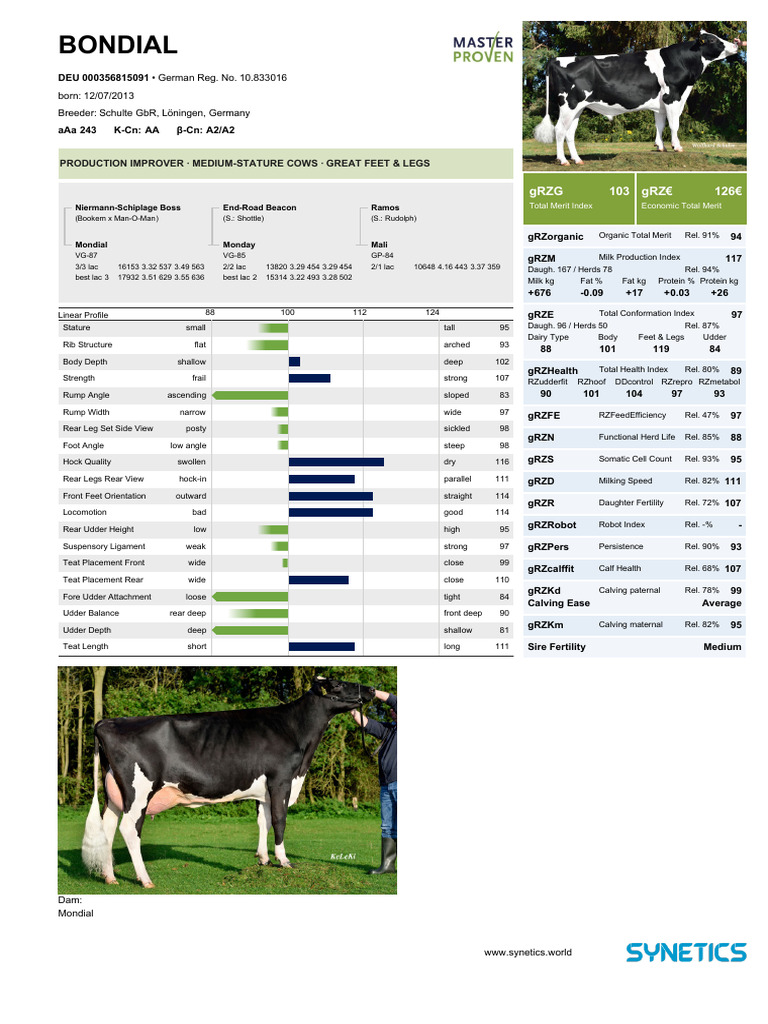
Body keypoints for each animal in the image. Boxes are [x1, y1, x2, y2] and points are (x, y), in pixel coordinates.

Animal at [81, 676, 375, 888]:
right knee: (129, 829)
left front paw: (264, 860)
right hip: (138, 793)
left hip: (115, 795)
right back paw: (145, 879)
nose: (371, 689)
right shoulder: (281, 780)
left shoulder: (264, 789)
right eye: (338, 684)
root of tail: (107, 722)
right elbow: (280, 820)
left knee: (108, 829)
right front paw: (284, 862)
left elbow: (264, 821)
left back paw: (110, 877)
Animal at [533, 30, 743, 165]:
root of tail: (555, 59)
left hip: (578, 108)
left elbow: (660, 124)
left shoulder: (661, 102)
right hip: (568, 104)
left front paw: (660, 147)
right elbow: (674, 124)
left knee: (569, 133)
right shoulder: (673, 96)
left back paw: (577, 160)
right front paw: (677, 147)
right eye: (714, 40)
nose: (736, 43)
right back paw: (563, 161)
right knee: (559, 130)